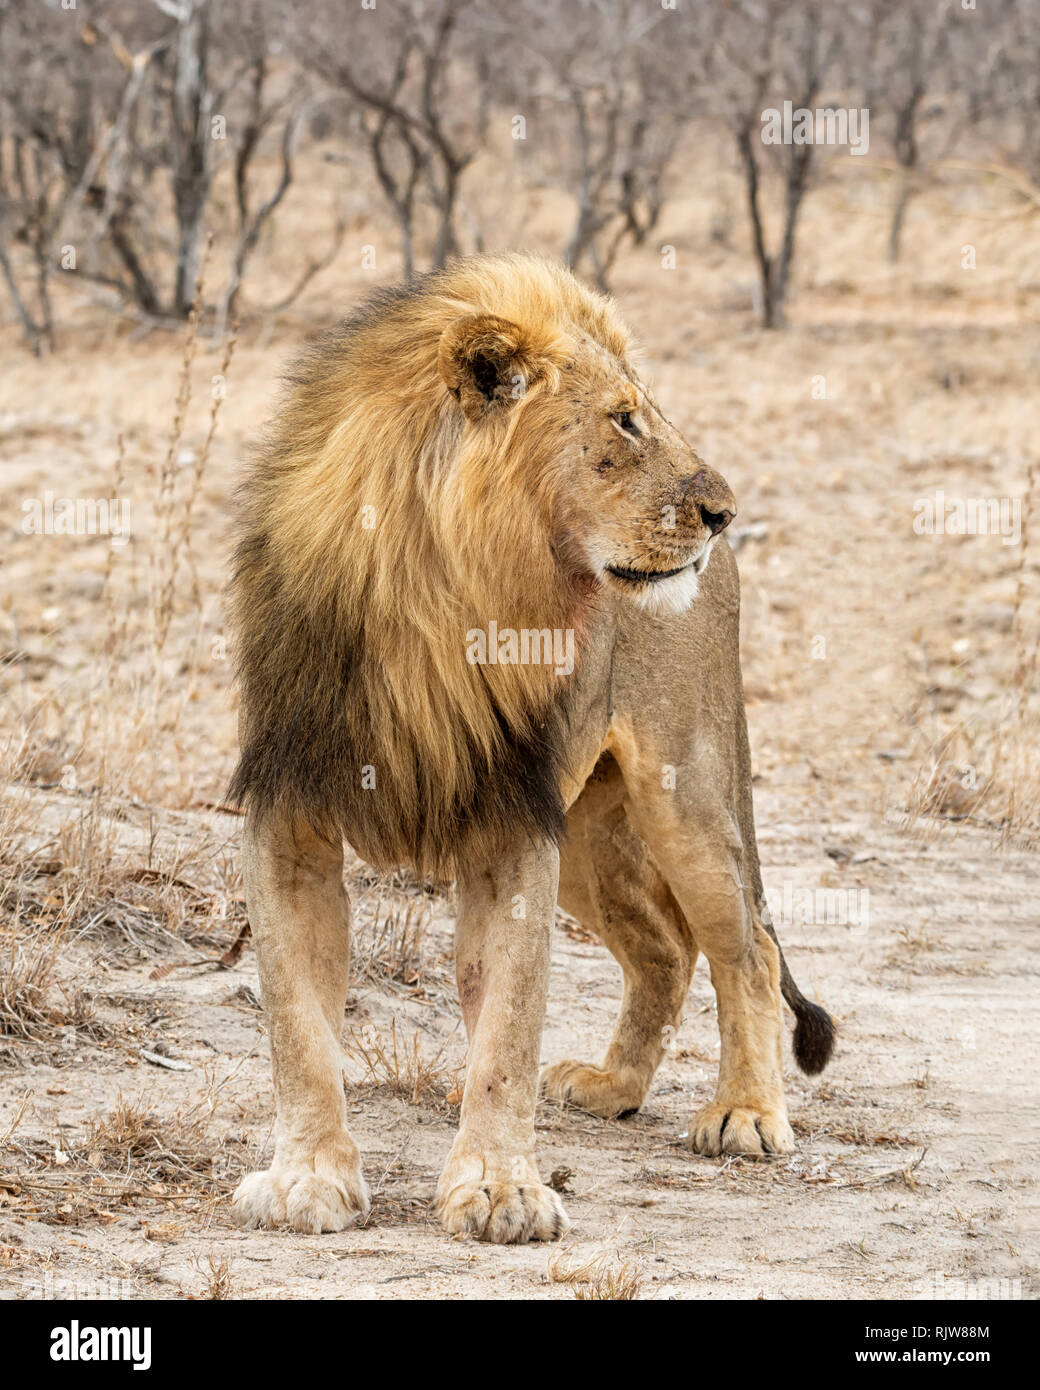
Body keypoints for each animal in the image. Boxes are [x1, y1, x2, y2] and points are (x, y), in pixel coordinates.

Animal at [227, 252, 835, 1243]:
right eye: (624, 418)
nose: (724, 511)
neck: (436, 601)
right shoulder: (290, 817)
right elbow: (297, 1023)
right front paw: (308, 1178)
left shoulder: (512, 824)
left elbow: (508, 1026)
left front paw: (501, 1188)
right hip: (586, 828)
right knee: (664, 950)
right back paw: (614, 1086)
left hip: (687, 794)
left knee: (747, 947)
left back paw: (746, 1113)